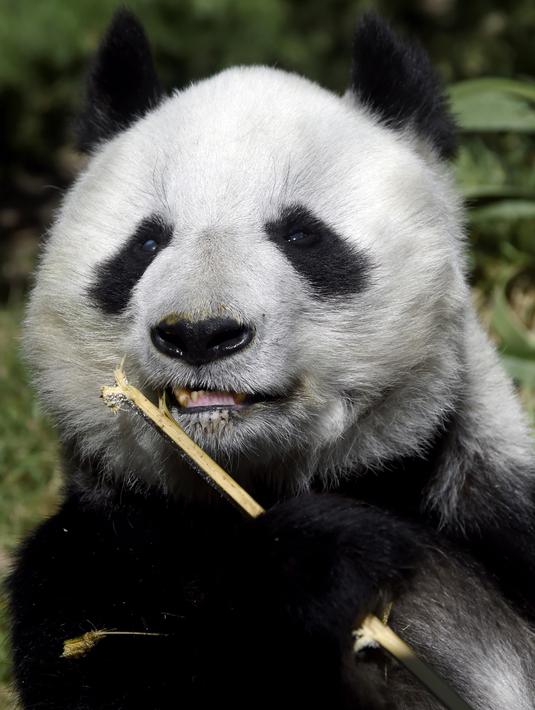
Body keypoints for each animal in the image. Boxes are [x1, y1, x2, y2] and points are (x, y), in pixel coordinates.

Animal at [7, 8, 535, 709]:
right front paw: (317, 560)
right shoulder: (101, 553)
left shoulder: (493, 509)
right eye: (146, 243)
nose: (201, 335)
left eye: (301, 235)